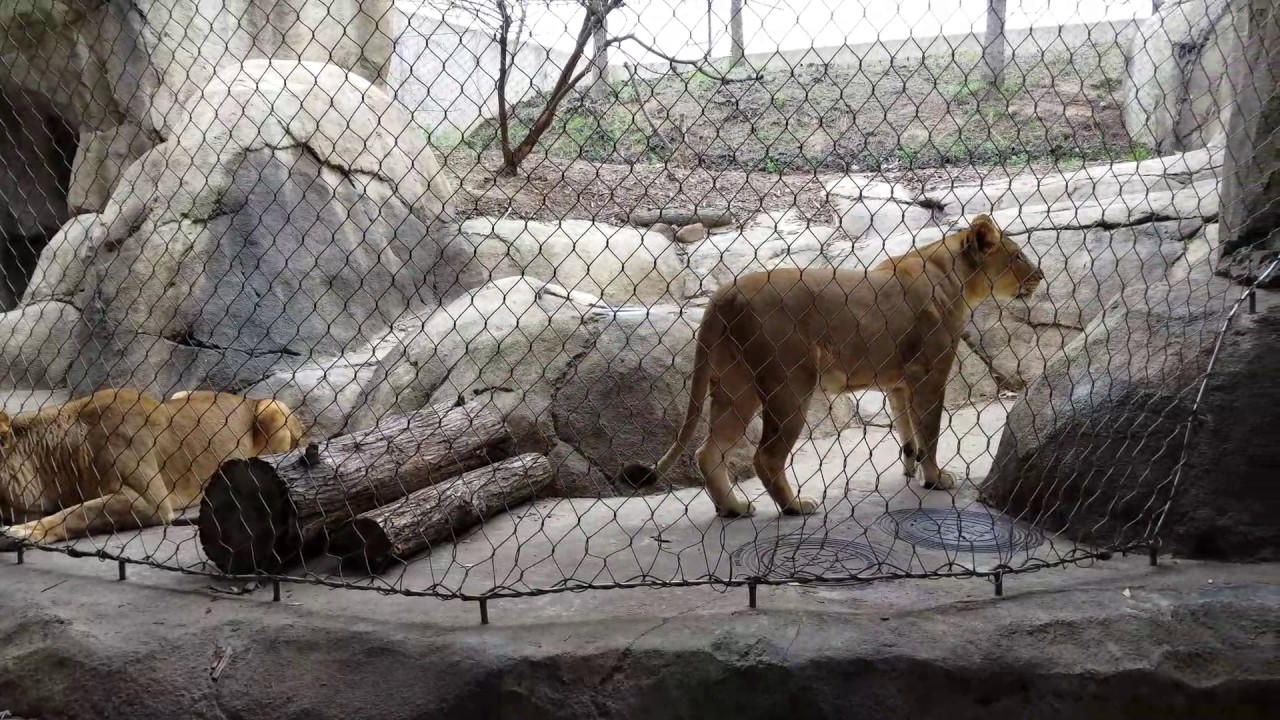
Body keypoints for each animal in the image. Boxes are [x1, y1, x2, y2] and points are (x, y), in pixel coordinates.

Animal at [614, 214, 1043, 518]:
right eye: (1018, 256)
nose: (1039, 276)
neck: (953, 272)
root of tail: (725, 293)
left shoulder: (898, 383)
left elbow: (907, 431)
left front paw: (910, 468)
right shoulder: (931, 374)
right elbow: (931, 432)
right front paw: (936, 478)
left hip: (737, 388)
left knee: (709, 452)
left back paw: (733, 508)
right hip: (789, 384)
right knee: (765, 456)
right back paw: (794, 507)